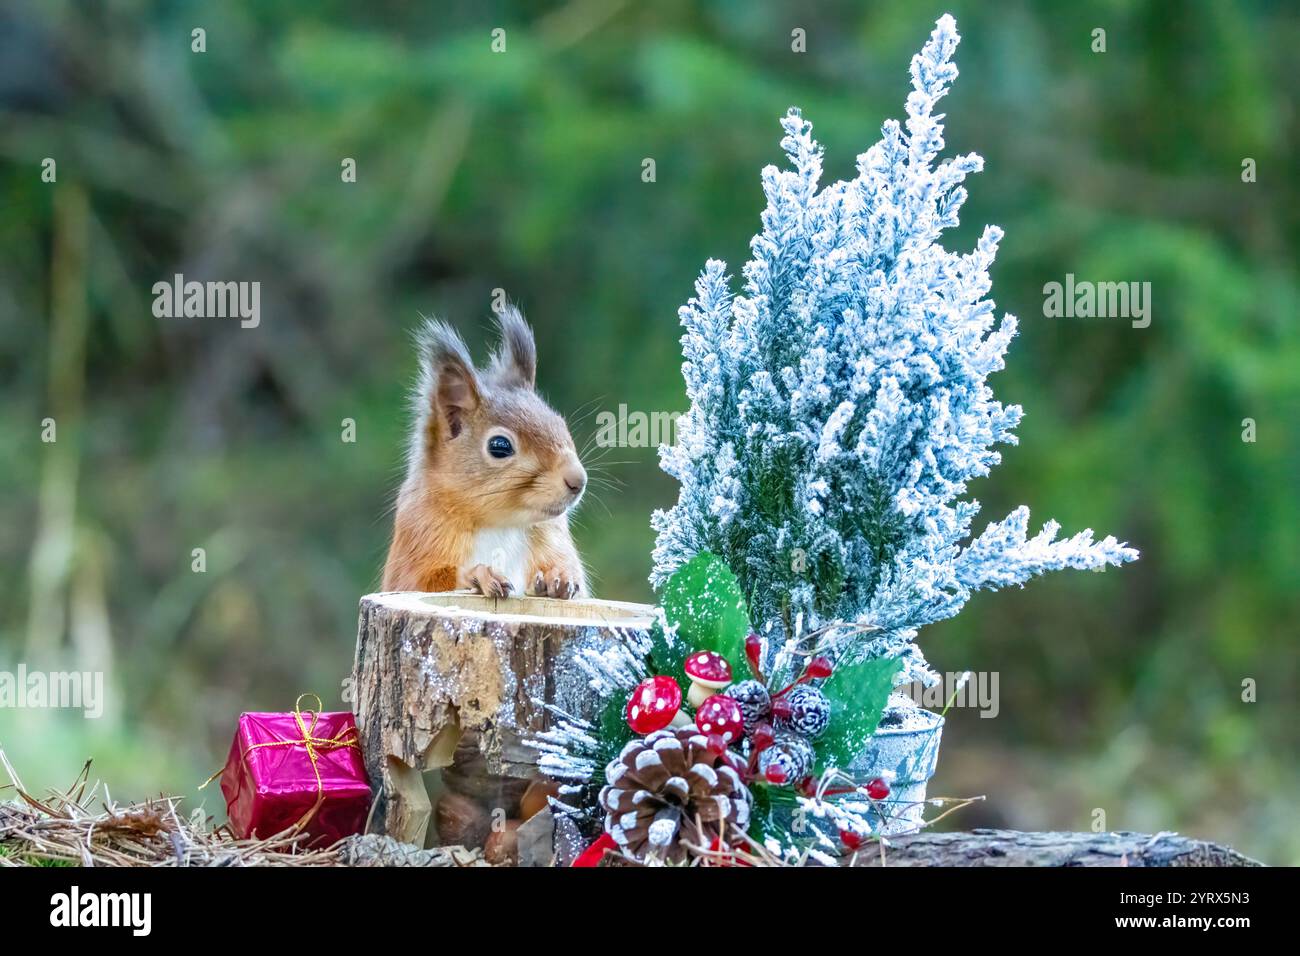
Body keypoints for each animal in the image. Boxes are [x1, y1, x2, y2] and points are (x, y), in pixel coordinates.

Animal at [382, 306, 589, 600]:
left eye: (561, 423)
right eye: (499, 446)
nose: (577, 480)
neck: (502, 524)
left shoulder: (553, 538)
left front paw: (558, 576)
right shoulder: (417, 537)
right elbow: (420, 582)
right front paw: (479, 575)